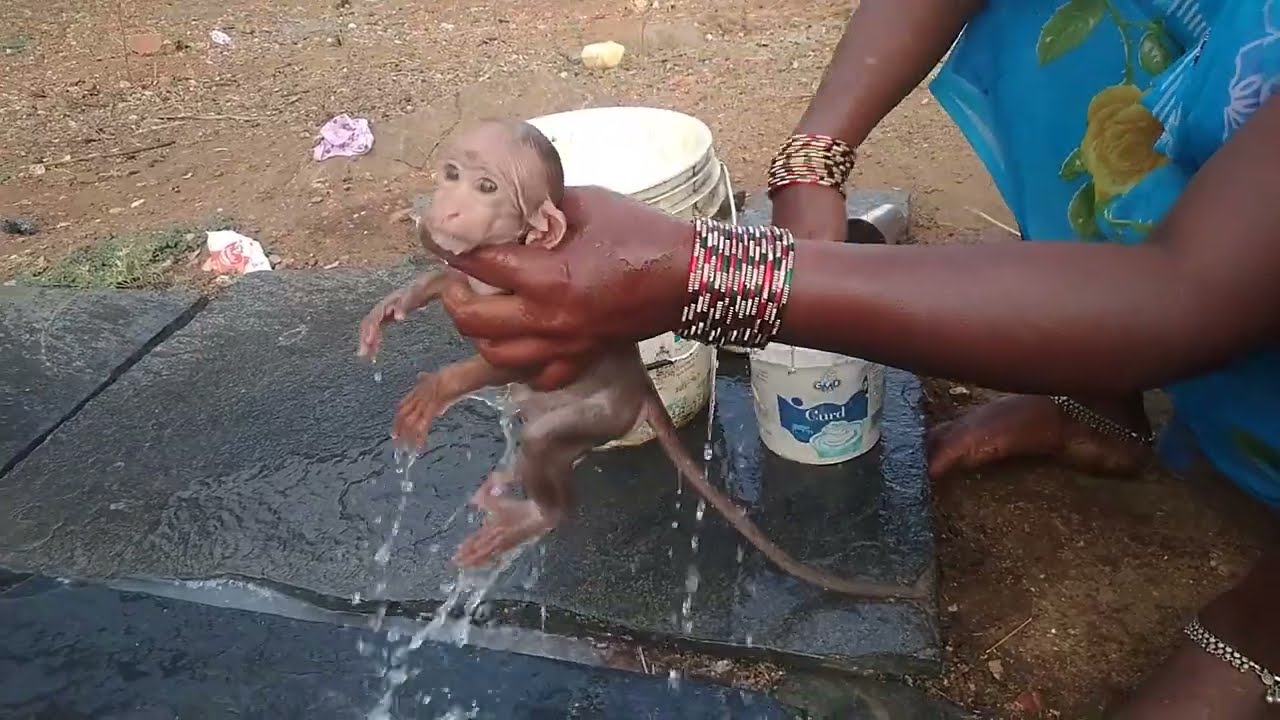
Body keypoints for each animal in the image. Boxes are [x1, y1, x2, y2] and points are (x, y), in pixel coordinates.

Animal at [357, 119, 928, 603]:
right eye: (451, 175)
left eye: (487, 188)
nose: (446, 209)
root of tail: (640, 387)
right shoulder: (469, 273)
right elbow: (444, 281)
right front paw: (390, 309)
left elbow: (505, 357)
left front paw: (437, 389)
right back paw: (501, 488)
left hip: (601, 412)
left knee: (544, 447)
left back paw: (540, 515)